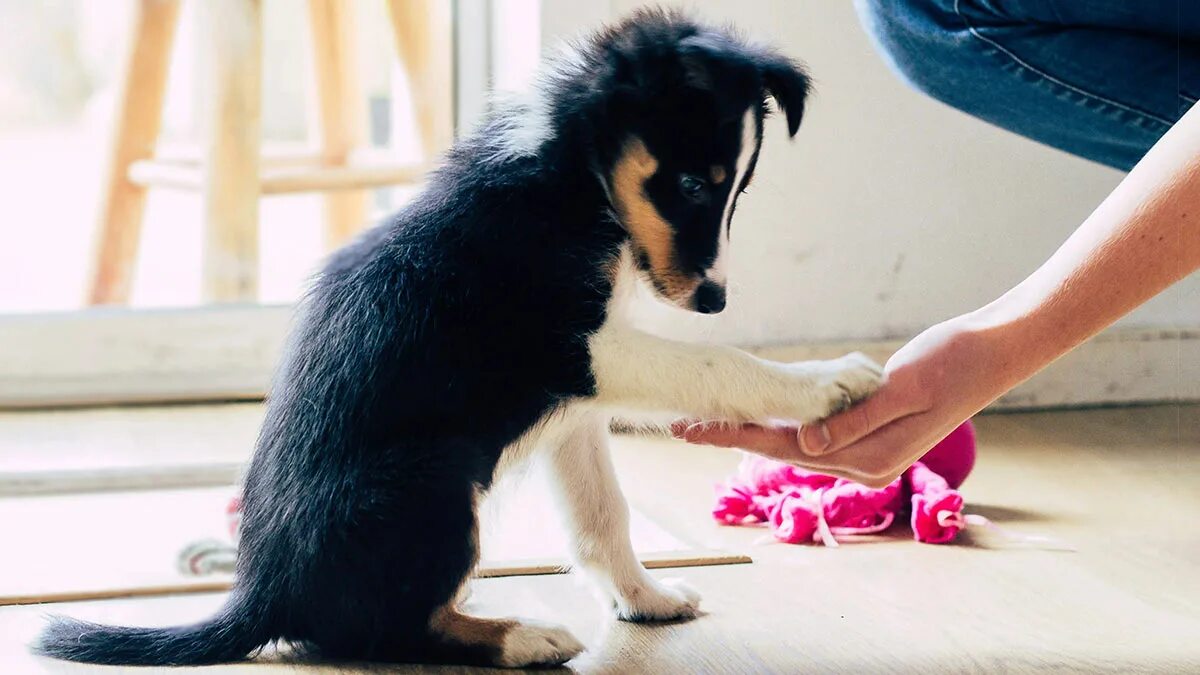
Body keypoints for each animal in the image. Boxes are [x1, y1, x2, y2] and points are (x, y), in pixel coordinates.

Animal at [37, 10, 883, 667]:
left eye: (737, 189)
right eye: (689, 184)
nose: (713, 298)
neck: (570, 176)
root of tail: (261, 596)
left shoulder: (573, 405)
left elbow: (602, 515)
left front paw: (644, 598)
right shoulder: (575, 347)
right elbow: (713, 359)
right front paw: (829, 379)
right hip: (437, 478)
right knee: (381, 632)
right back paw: (522, 636)